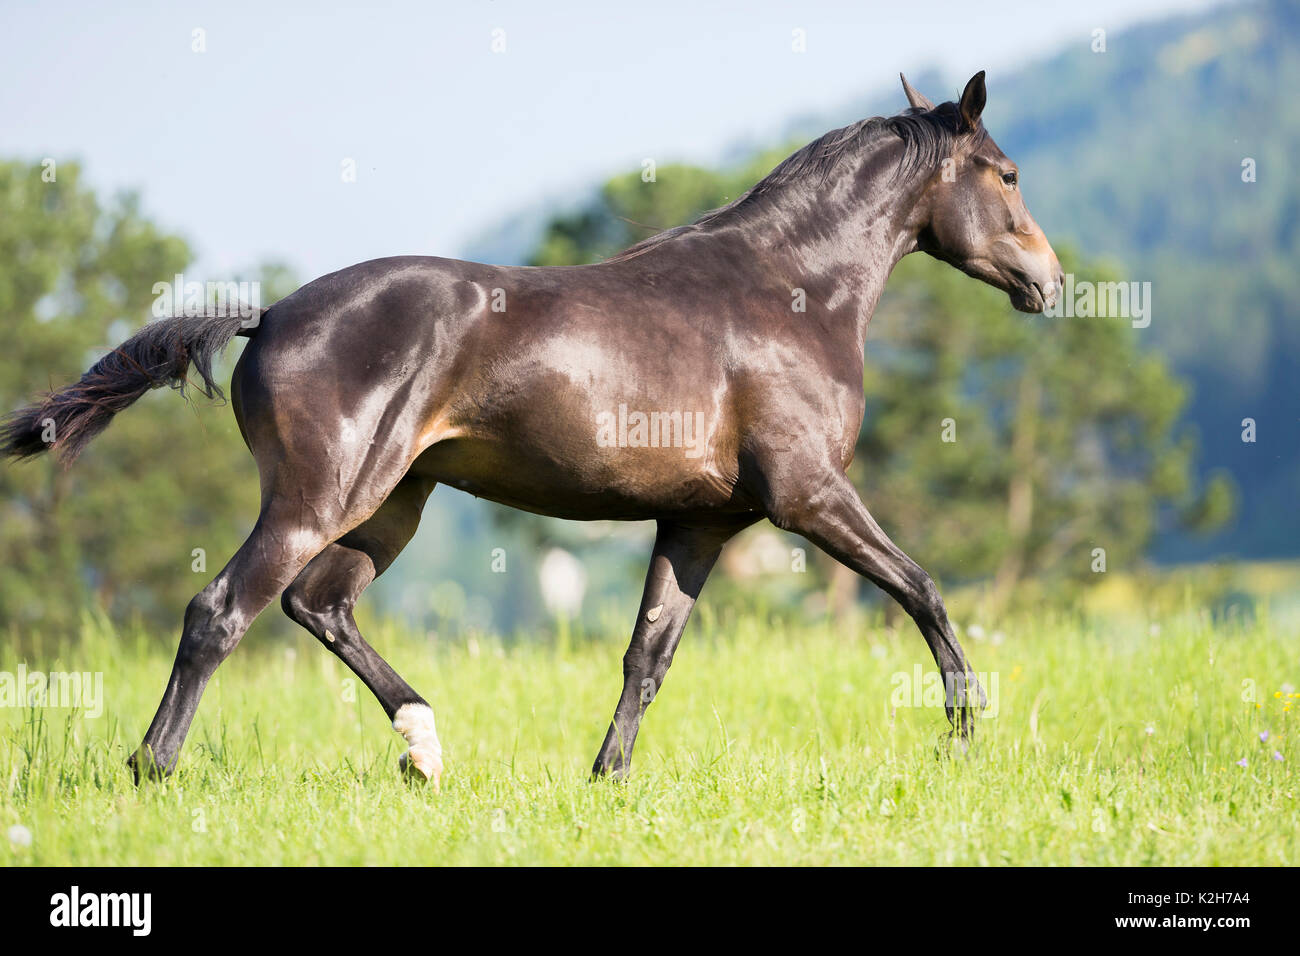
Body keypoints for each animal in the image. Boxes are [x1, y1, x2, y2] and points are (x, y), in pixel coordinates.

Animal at [2, 72, 1062, 787]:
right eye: (1007, 174)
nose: (1049, 283)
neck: (788, 291)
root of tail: (267, 316)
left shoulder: (703, 523)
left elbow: (647, 655)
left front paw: (608, 779)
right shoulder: (809, 497)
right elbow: (923, 590)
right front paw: (966, 734)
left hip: (391, 506)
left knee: (320, 605)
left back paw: (424, 748)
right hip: (316, 500)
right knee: (220, 611)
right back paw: (153, 768)